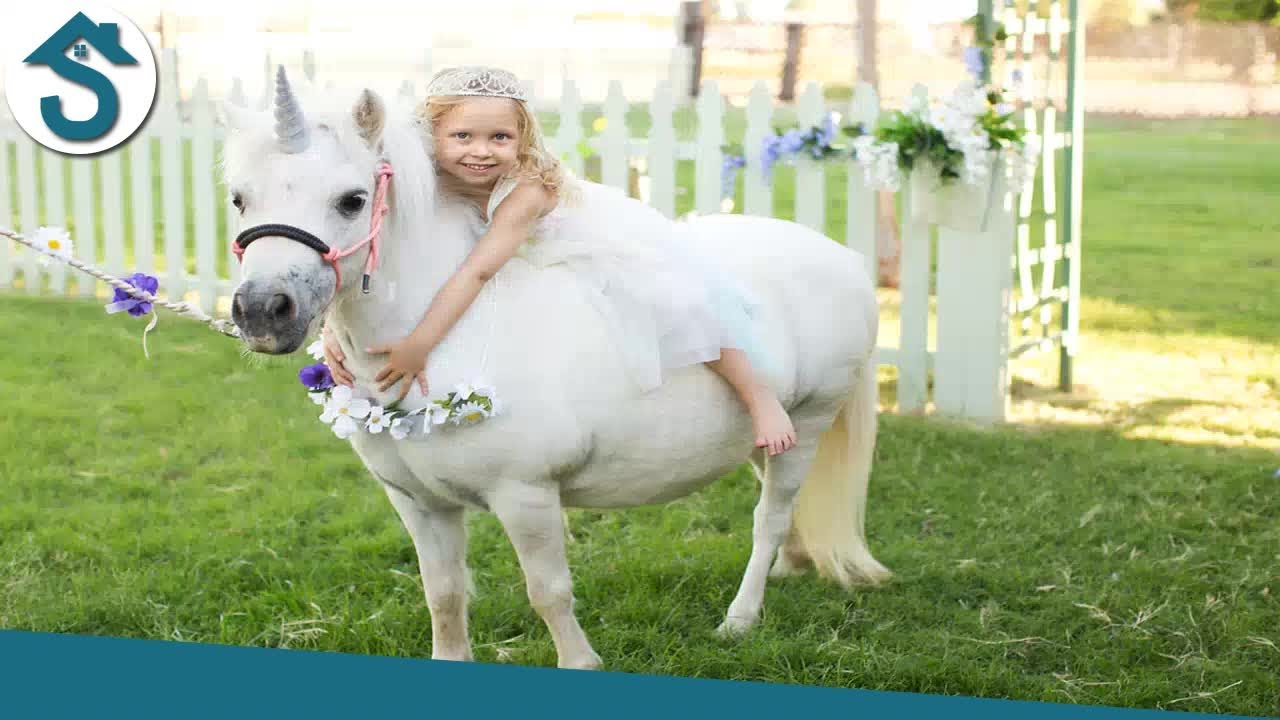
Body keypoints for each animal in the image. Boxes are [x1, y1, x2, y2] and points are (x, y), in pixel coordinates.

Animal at [222, 68, 890, 670]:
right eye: (238, 197)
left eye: (352, 200)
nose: (262, 311)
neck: (454, 329)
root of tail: (845, 259)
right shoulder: (418, 504)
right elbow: (444, 594)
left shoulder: (527, 497)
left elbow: (548, 593)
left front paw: (581, 662)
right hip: (763, 438)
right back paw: (794, 566)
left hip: (810, 424)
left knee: (769, 518)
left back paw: (741, 617)